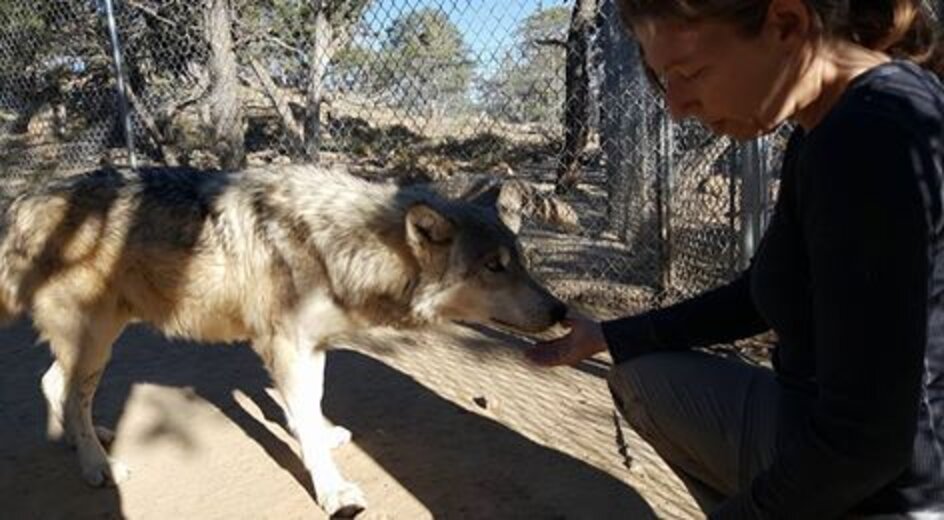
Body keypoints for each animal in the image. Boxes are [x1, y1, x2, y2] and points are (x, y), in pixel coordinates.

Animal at [0, 164, 567, 517]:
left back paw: (81, 439)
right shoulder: (285, 345)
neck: (342, 245)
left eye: (520, 261)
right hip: (96, 338)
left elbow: (309, 407)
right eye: (494, 267)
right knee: (70, 391)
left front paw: (317, 431)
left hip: (101, 337)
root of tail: (23, 200)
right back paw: (98, 465)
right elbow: (306, 423)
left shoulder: (310, 347)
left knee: (56, 384)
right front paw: (334, 491)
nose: (561, 311)